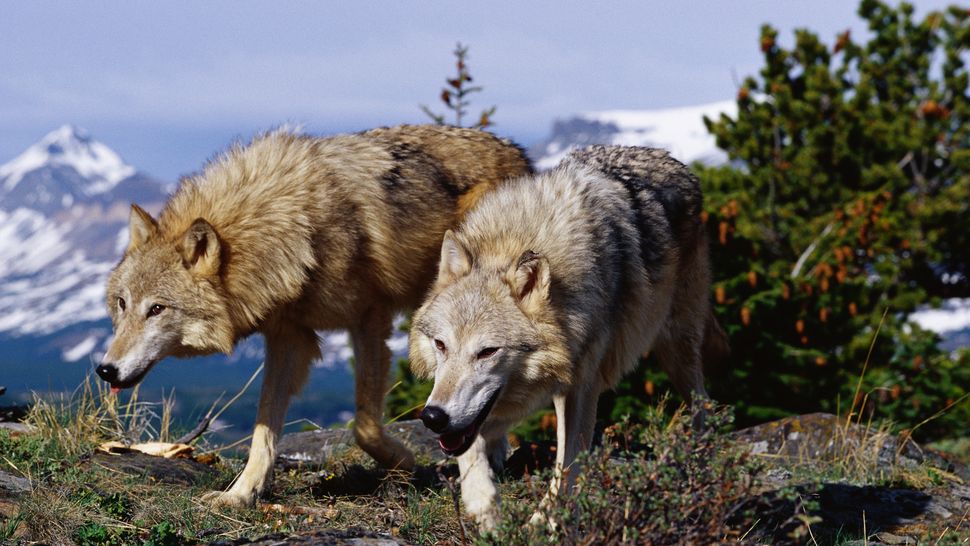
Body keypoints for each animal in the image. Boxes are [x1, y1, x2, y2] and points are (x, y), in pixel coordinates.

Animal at [99, 125, 531, 508]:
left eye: (157, 309)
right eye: (122, 303)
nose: (105, 369)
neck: (284, 222)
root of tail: (517, 152)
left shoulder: (369, 318)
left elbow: (364, 426)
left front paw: (405, 463)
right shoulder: (289, 337)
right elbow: (263, 428)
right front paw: (240, 495)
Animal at [408, 145, 728, 529]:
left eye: (487, 351)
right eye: (441, 345)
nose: (432, 417)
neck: (514, 241)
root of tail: (668, 158)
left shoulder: (581, 386)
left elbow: (567, 463)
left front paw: (545, 521)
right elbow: (470, 447)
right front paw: (483, 504)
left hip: (676, 347)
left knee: (702, 402)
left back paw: (698, 462)